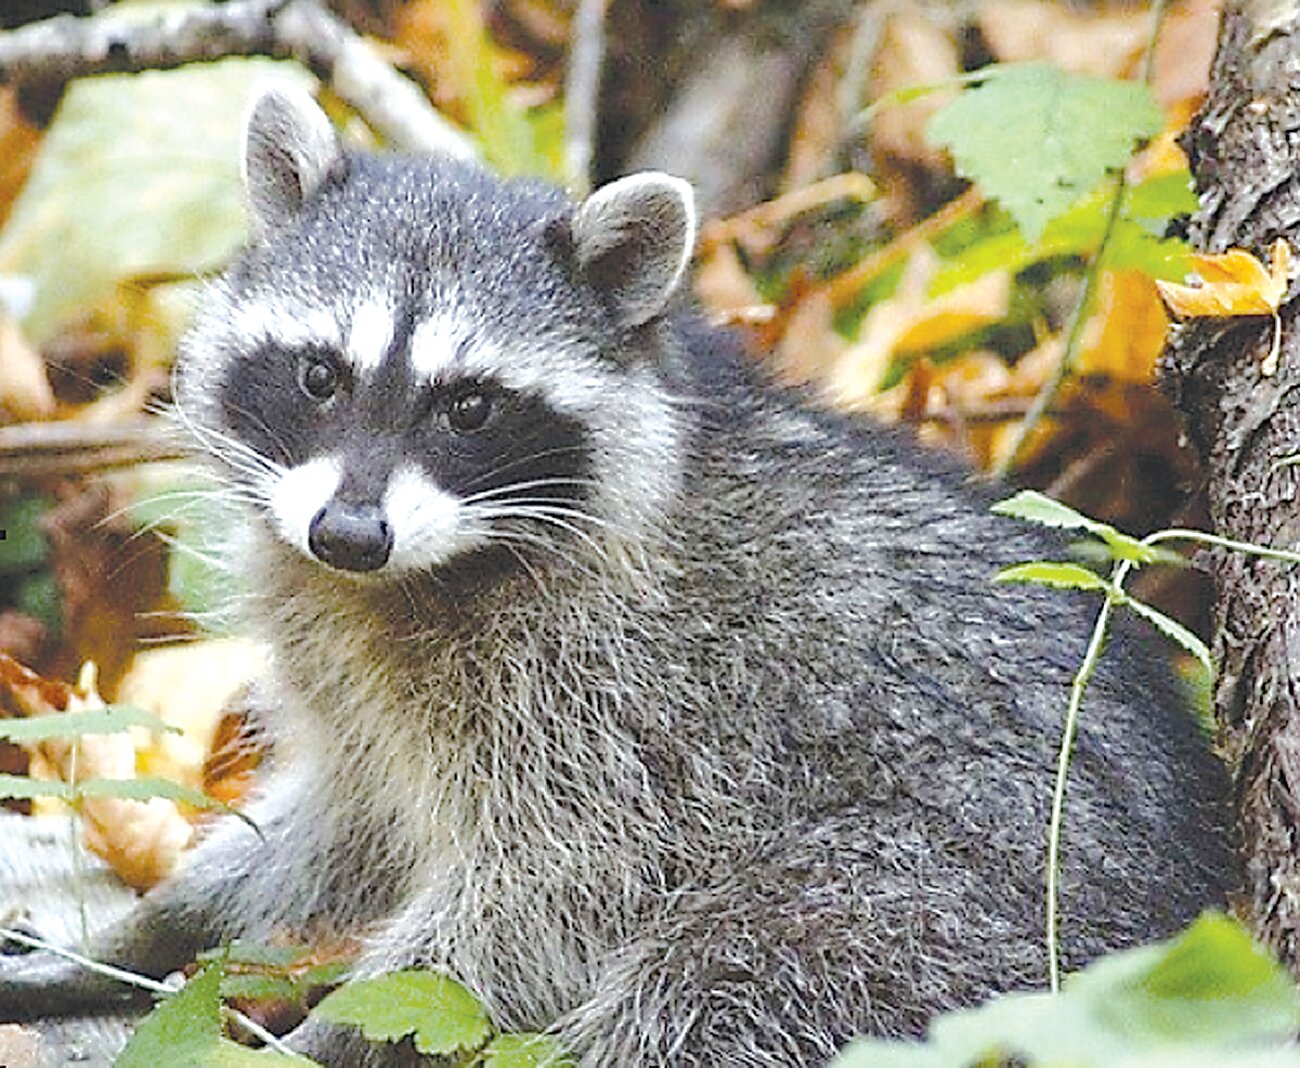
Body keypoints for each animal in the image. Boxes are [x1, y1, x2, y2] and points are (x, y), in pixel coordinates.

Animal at [0, 86, 1237, 1066]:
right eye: (318, 375)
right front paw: (145, 930)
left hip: (927, 895)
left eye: (469, 406)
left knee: (707, 989)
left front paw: (327, 1032)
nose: (349, 534)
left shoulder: (622, 705)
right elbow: (342, 825)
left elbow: (542, 902)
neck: (415, 577)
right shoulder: (360, 680)